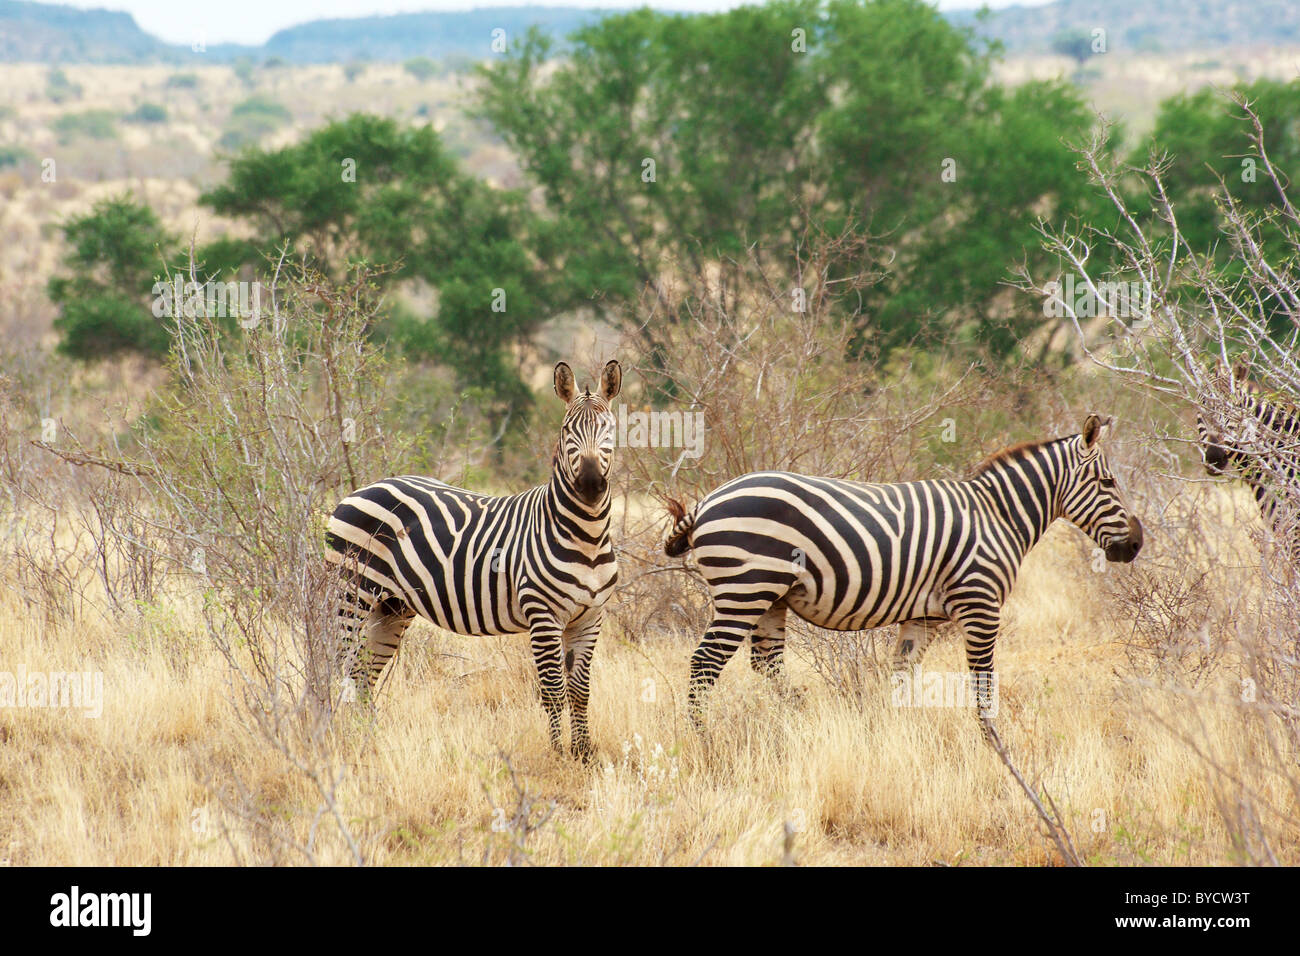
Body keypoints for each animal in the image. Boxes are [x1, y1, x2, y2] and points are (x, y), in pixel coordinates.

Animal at [326, 360, 622, 760]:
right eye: (566, 431)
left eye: (609, 428)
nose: (590, 485)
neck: (587, 537)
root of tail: (358, 491)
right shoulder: (543, 615)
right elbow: (553, 691)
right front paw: (558, 754)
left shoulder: (590, 617)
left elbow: (579, 691)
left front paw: (582, 753)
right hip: (352, 594)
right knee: (340, 666)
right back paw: (338, 739)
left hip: (390, 607)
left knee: (362, 676)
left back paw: (367, 744)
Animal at [663, 414, 1143, 731]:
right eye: (1108, 483)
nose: (1136, 545)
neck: (998, 514)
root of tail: (706, 500)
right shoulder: (981, 604)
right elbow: (984, 681)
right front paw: (991, 740)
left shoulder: (924, 617)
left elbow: (902, 674)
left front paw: (896, 732)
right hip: (744, 590)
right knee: (705, 662)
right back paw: (701, 736)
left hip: (770, 597)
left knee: (767, 663)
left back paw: (798, 720)